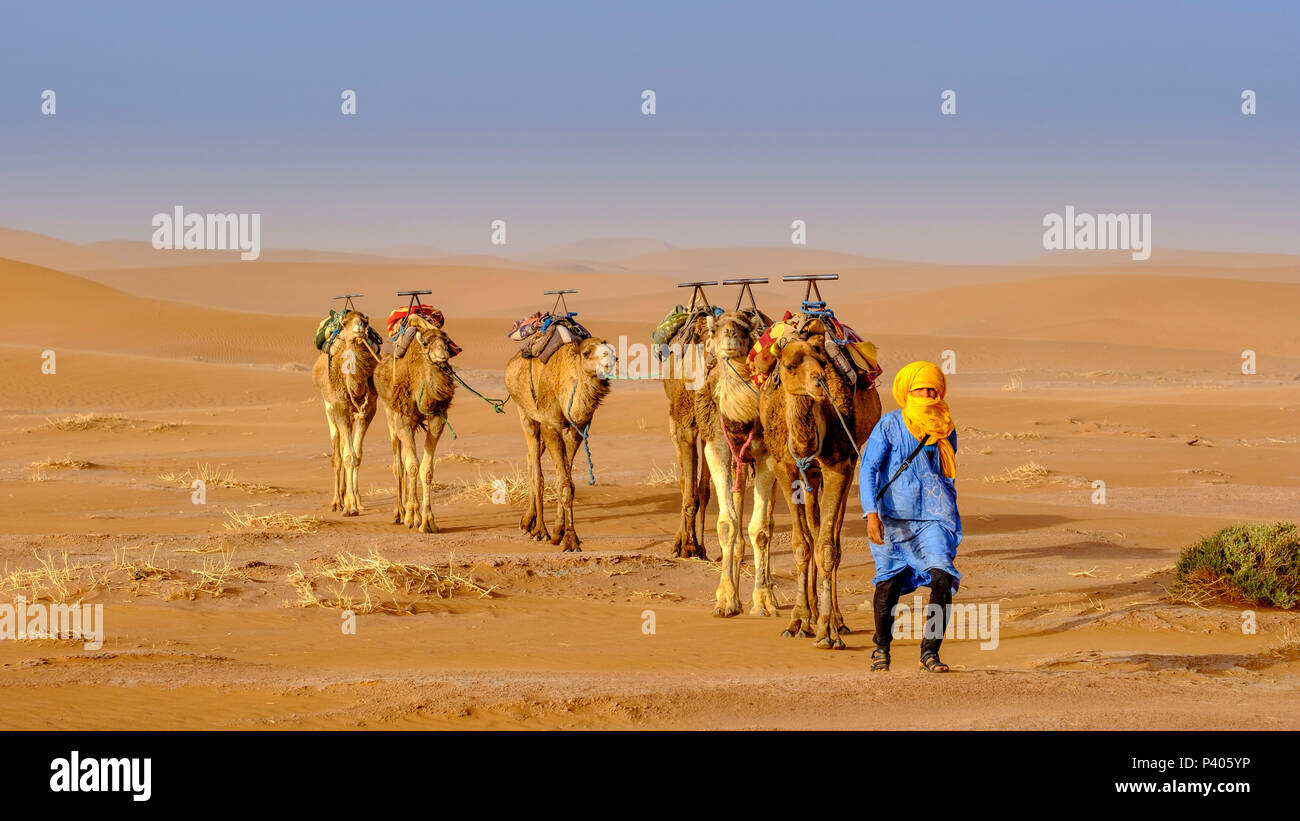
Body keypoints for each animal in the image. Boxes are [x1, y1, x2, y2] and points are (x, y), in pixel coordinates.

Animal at [311, 310, 380, 517]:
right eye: (345, 323)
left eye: (364, 322)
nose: (359, 328)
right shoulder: (339, 405)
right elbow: (348, 456)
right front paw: (349, 507)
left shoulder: (368, 410)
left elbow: (356, 455)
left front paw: (356, 502)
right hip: (329, 407)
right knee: (337, 452)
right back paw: (336, 502)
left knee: (343, 447)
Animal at [373, 313, 456, 533]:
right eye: (426, 342)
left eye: (446, 341)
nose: (443, 353)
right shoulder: (402, 417)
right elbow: (411, 465)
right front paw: (412, 516)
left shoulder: (437, 417)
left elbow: (426, 468)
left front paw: (428, 521)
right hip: (390, 414)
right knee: (398, 462)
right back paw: (399, 513)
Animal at [505, 336, 617, 552]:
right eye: (586, 353)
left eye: (613, 351)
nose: (611, 360)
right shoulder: (550, 425)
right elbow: (562, 483)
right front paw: (569, 539)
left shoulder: (576, 430)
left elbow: (566, 482)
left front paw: (559, 532)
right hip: (525, 413)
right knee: (536, 472)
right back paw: (538, 530)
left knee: (531, 458)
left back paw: (528, 522)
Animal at [696, 309, 781, 618]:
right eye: (715, 328)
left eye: (744, 329)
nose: (730, 334)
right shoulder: (716, 447)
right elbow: (727, 523)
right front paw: (725, 599)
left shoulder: (767, 456)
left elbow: (761, 529)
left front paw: (764, 600)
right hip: (737, 464)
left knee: (769, 519)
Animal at [756, 332, 882, 648]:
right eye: (789, 366)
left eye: (821, 362)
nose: (819, 381)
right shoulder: (784, 467)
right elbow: (802, 544)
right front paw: (798, 620)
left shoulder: (839, 465)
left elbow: (827, 546)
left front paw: (827, 630)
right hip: (809, 474)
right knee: (812, 530)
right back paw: (811, 616)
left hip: (848, 461)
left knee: (832, 536)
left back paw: (836, 619)